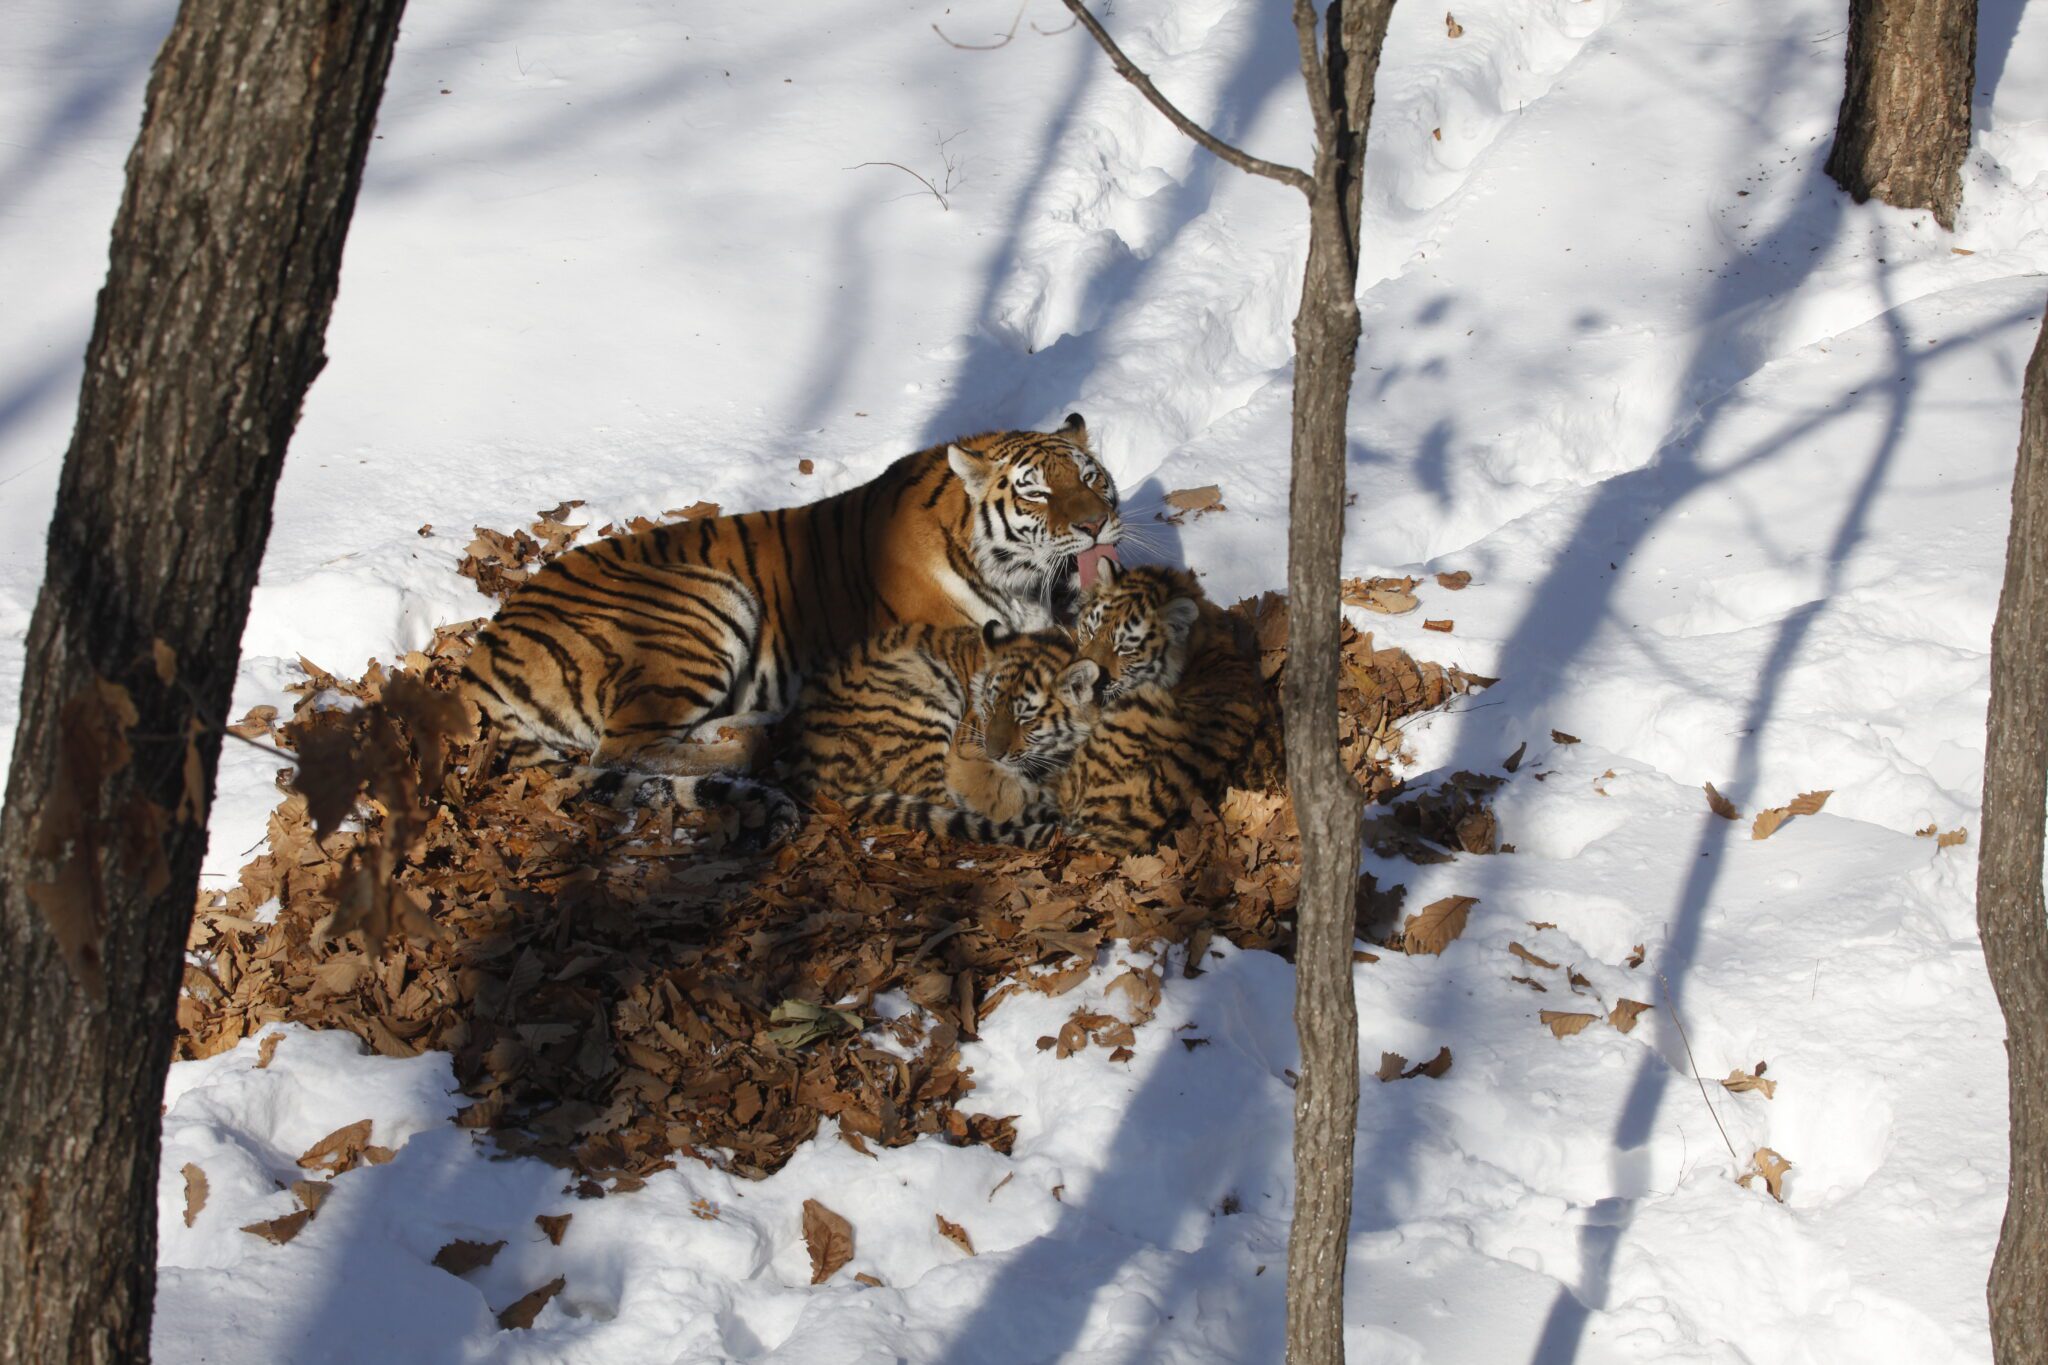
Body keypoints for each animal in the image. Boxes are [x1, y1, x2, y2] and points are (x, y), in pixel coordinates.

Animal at [779, 621, 1103, 841]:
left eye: (1025, 719)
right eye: (990, 705)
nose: (993, 754)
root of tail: (803, 768)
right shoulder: (968, 758)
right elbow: (1011, 793)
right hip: (924, 693)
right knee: (943, 805)